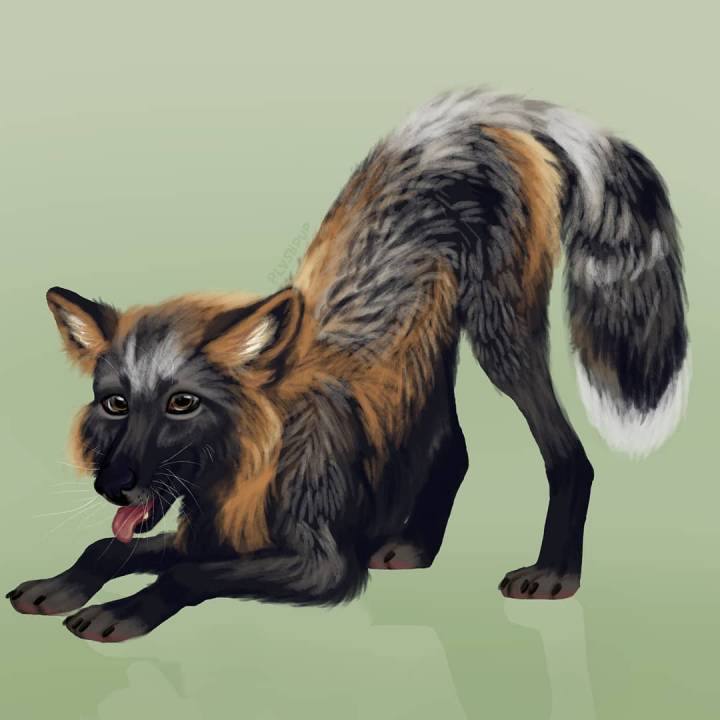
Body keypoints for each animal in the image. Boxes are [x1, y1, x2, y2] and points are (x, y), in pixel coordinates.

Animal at [7, 90, 689, 642]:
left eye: (182, 403)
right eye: (115, 402)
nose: (112, 484)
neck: (253, 466)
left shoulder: (323, 564)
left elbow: (187, 577)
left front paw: (121, 613)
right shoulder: (206, 534)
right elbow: (109, 547)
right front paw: (63, 586)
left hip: (501, 340)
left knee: (569, 455)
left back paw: (554, 573)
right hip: (433, 356)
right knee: (454, 447)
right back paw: (414, 545)